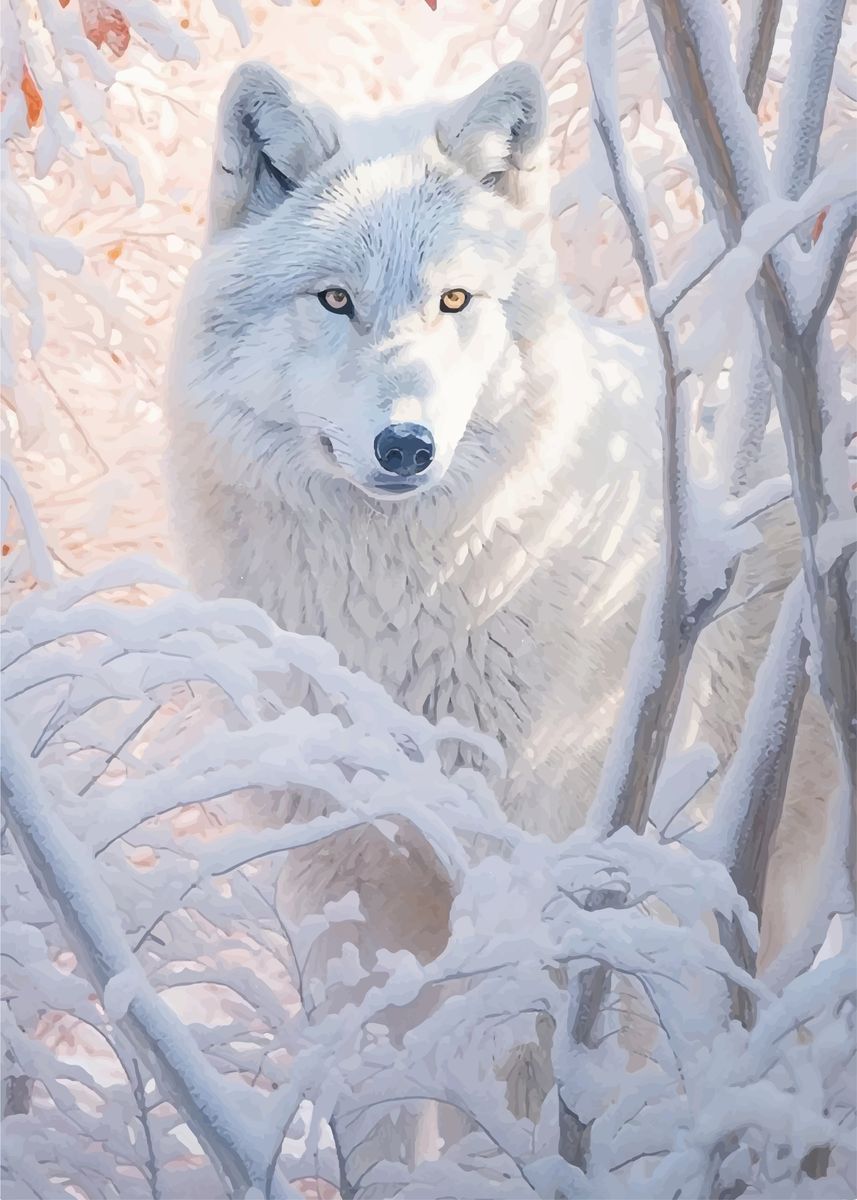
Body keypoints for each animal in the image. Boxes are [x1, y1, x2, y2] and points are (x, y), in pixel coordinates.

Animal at [166, 61, 832, 988]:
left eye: (454, 299)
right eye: (335, 299)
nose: (406, 445)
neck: (389, 617)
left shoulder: (567, 855)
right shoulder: (347, 866)